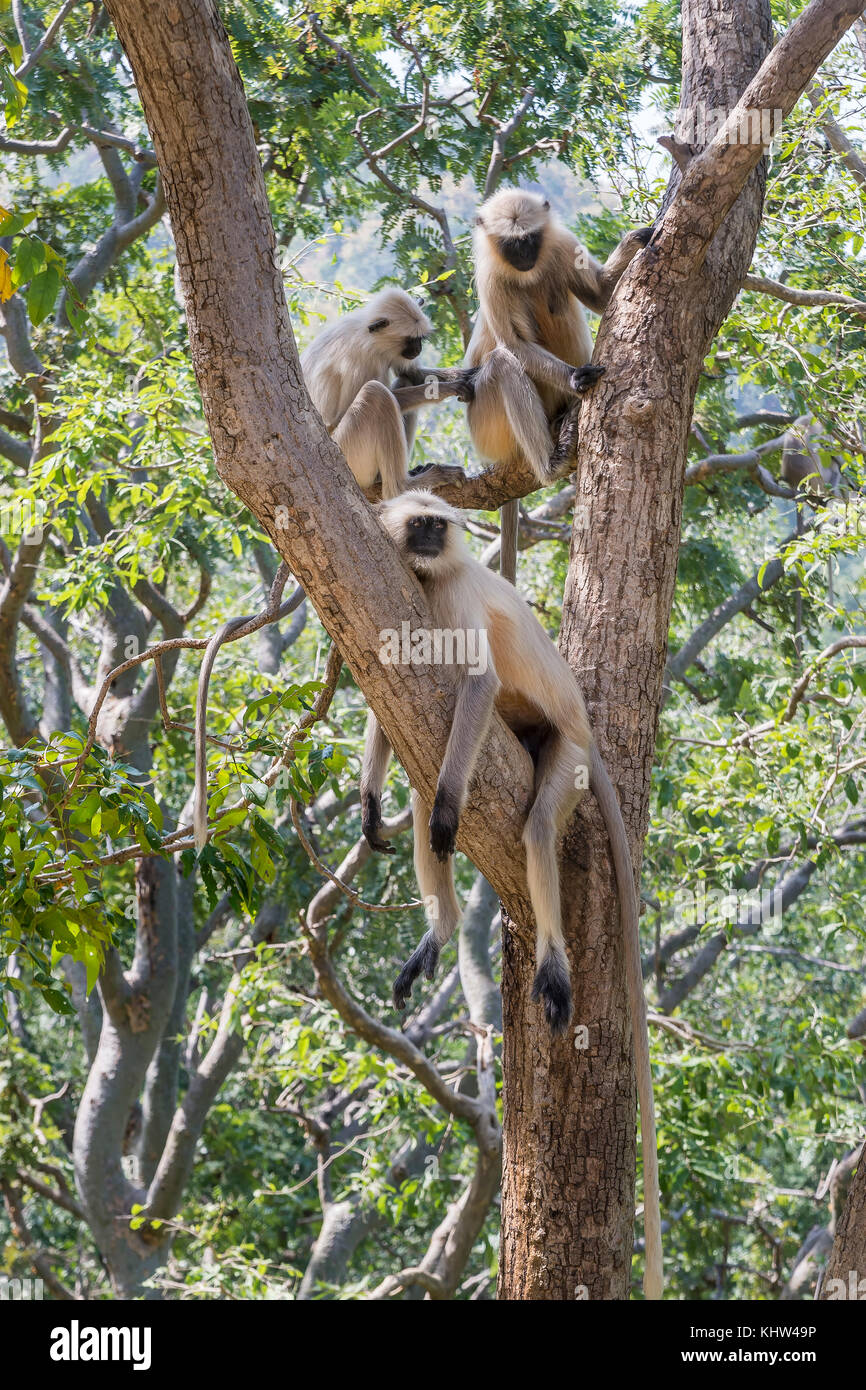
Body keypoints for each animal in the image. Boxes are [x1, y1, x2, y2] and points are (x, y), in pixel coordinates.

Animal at [300, 287, 476, 499]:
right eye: (410, 340)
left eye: (420, 339)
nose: (418, 349)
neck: (366, 333)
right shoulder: (360, 358)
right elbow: (340, 414)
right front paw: (448, 388)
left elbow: (412, 374)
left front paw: (467, 374)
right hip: (346, 453)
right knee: (376, 393)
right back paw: (403, 487)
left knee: (404, 380)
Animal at [360, 489, 662, 1300]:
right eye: (418, 523)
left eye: (438, 523)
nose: (430, 538)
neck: (434, 577)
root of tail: (587, 727)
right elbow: (384, 707)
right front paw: (368, 804)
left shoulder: (458, 595)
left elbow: (475, 684)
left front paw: (436, 812)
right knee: (425, 774)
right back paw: (438, 928)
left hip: (566, 754)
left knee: (529, 828)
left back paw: (552, 963)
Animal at [465, 189, 653, 580]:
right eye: (511, 244)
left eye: (531, 239)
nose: (524, 258)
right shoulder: (489, 278)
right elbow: (513, 345)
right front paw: (575, 377)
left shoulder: (561, 244)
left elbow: (601, 296)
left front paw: (635, 239)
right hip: (486, 429)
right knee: (503, 361)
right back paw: (552, 463)